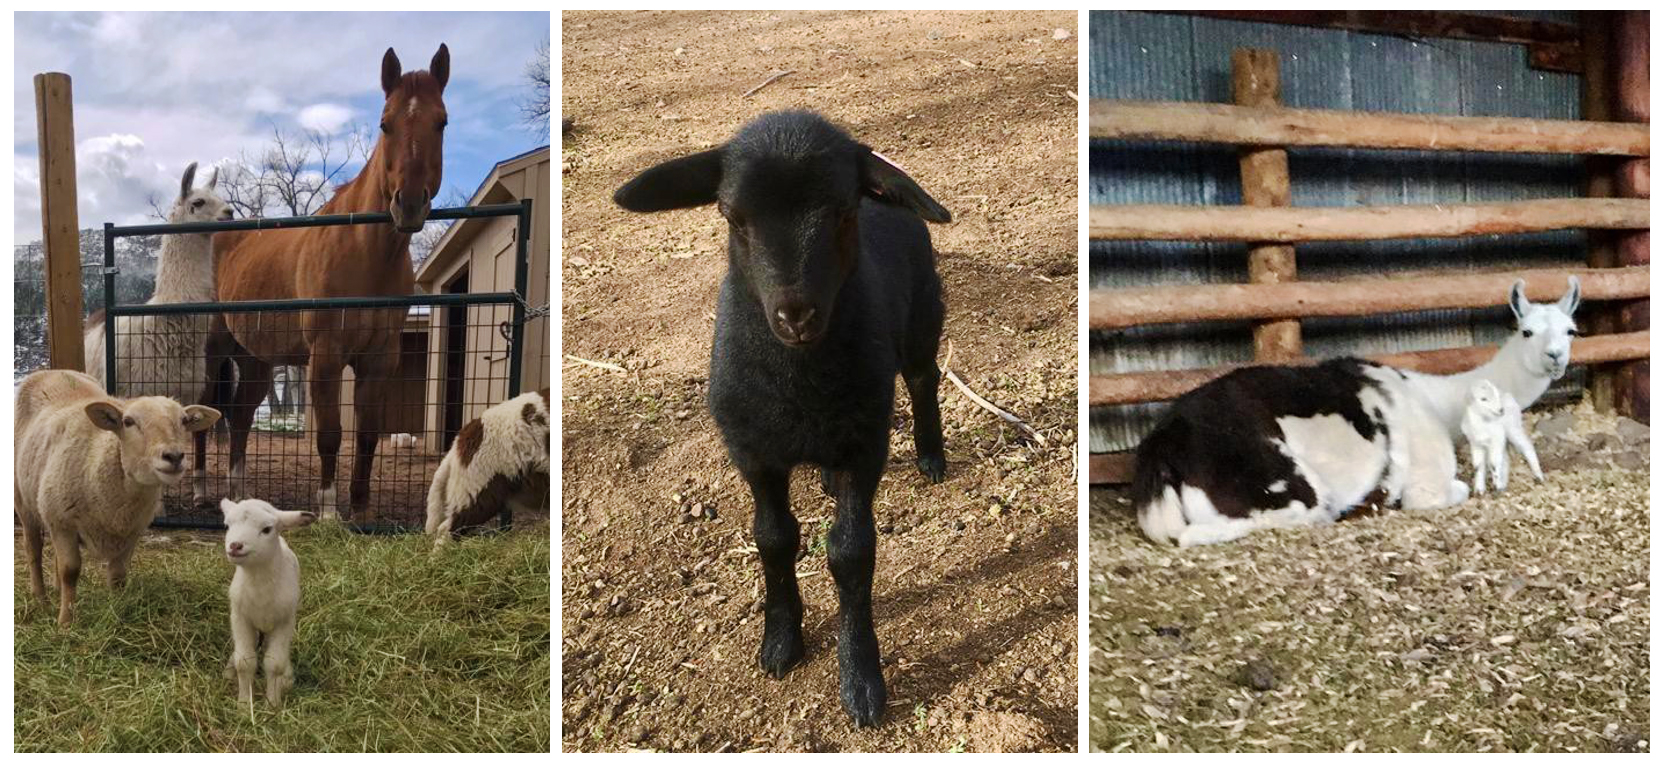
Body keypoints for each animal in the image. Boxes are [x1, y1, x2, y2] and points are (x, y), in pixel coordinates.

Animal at [14, 369, 221, 625]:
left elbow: (118, 576)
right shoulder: (63, 522)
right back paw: (40, 598)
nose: (174, 456)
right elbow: (70, 571)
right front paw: (66, 622)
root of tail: (52, 371)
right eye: (128, 422)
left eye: (184, 421)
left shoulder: (131, 530)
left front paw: (116, 613)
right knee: (33, 548)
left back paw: (54, 588)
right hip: (24, 501)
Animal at [219, 498, 315, 708]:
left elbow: (275, 663)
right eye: (227, 526)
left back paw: (286, 679)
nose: (235, 546)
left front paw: (273, 703)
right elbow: (245, 662)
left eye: (267, 529)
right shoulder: (240, 618)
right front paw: (244, 705)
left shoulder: (284, 621)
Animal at [613, 110, 952, 727]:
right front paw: (779, 643)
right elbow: (772, 539)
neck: (799, 385)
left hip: (921, 317)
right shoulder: (754, 451)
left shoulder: (864, 446)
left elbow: (850, 552)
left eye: (843, 211)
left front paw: (861, 681)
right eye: (731, 216)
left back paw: (931, 455)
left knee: (923, 378)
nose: (796, 314)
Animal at [1134, 278, 1579, 548]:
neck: (1436, 400)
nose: (1555, 357)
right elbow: (1453, 490)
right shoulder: (1427, 483)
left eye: (1570, 330)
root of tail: (1163, 447)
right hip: (1266, 472)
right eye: (1526, 331)